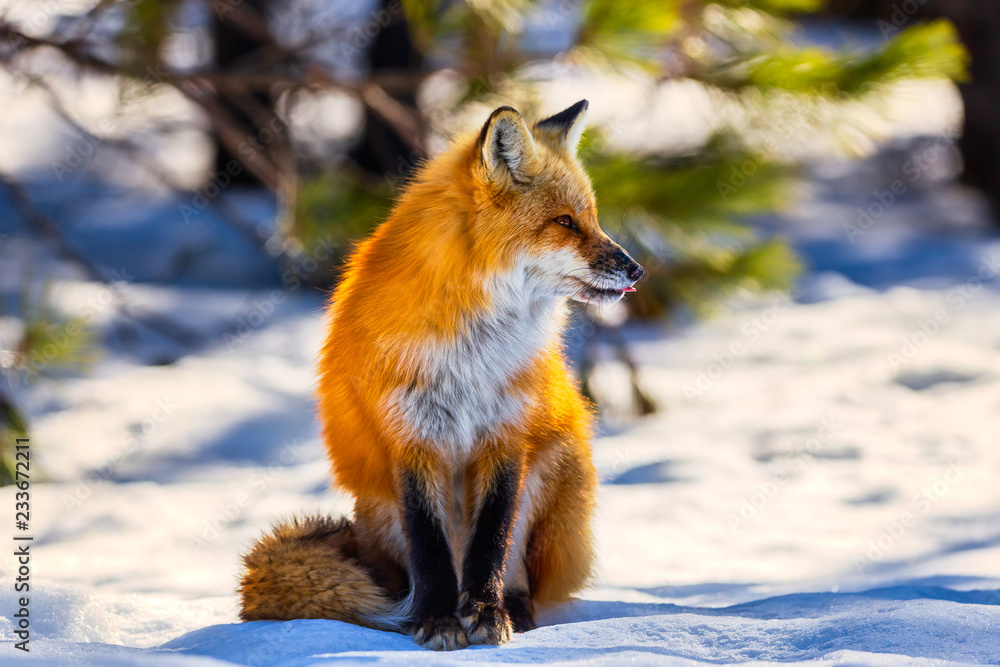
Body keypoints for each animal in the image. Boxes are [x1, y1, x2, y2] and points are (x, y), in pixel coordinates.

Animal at [238, 100, 643, 650]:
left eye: (594, 220)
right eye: (564, 222)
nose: (636, 270)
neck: (471, 353)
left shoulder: (506, 436)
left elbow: (490, 542)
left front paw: (486, 614)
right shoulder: (411, 438)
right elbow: (430, 550)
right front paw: (436, 621)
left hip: (556, 463)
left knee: (517, 569)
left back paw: (514, 610)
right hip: (378, 506)